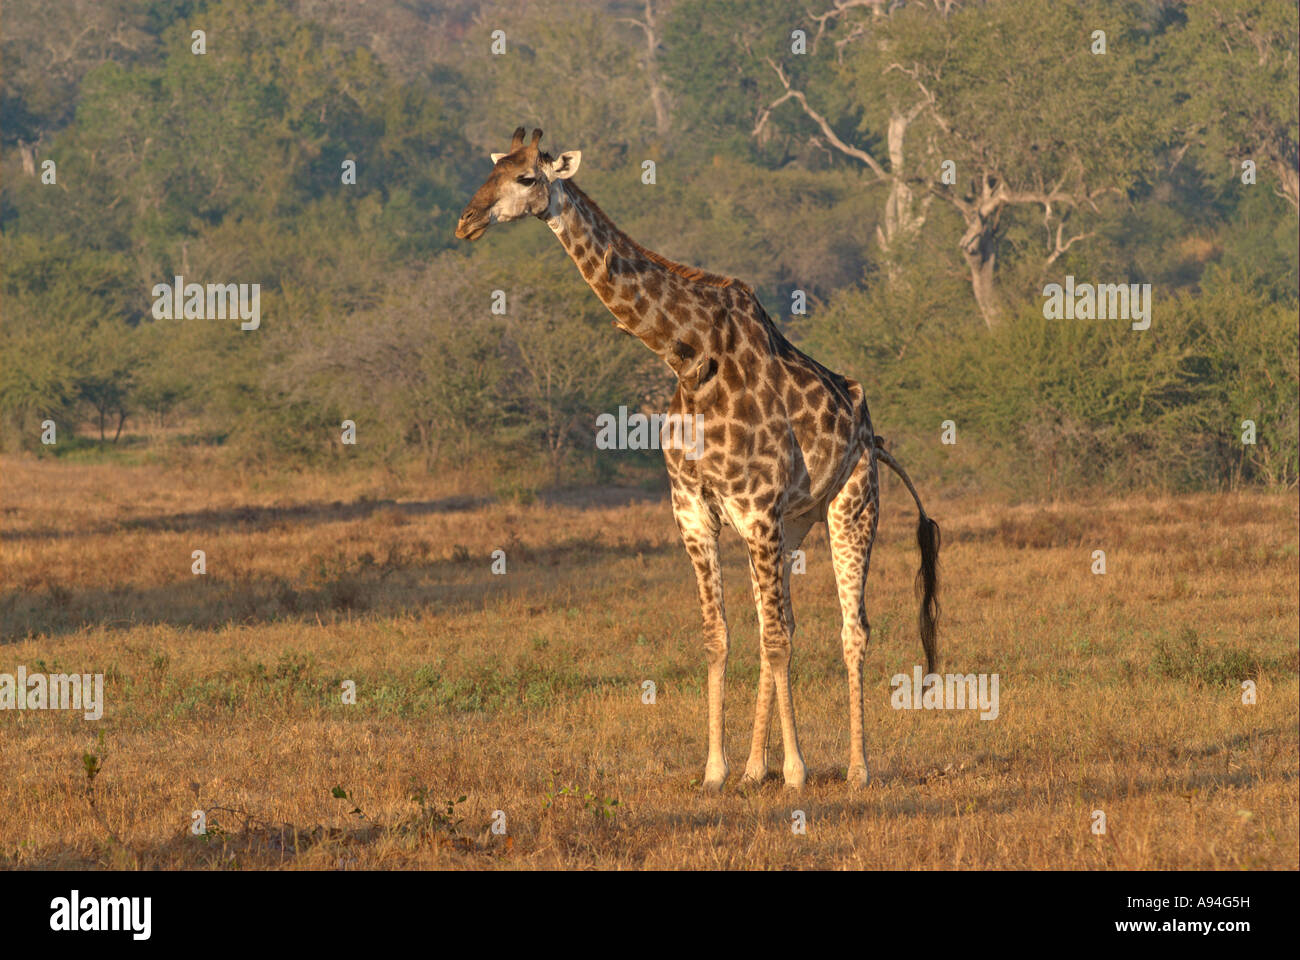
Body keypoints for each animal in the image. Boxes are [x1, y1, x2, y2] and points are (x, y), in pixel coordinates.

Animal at [456, 128, 940, 791]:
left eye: (526, 178)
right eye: (493, 170)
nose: (467, 221)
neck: (686, 356)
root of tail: (875, 436)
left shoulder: (757, 507)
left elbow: (776, 641)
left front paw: (795, 771)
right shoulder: (694, 511)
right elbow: (721, 636)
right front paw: (717, 769)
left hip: (851, 508)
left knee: (850, 629)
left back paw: (855, 768)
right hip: (791, 526)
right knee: (780, 622)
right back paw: (755, 767)